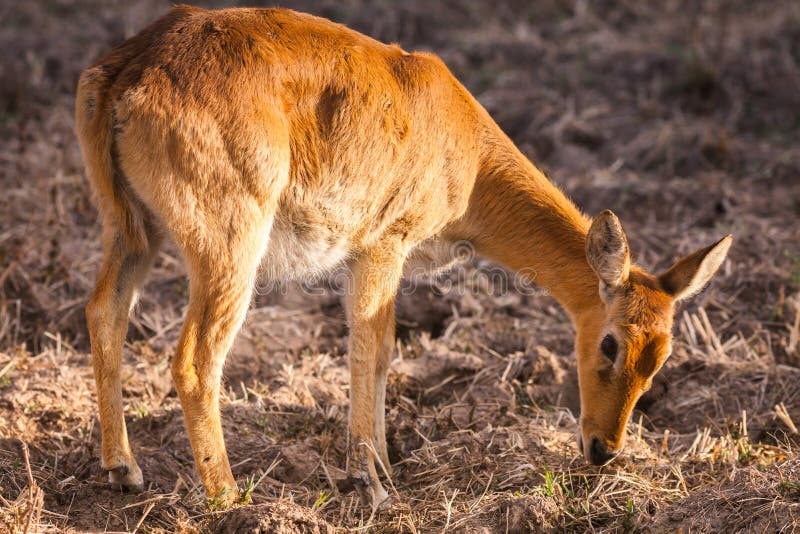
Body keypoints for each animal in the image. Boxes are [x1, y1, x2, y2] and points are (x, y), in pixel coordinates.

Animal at [75, 5, 732, 510]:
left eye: (661, 357)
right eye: (610, 344)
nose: (603, 450)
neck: (467, 151)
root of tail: (128, 69)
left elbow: (384, 355)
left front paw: (386, 466)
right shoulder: (380, 249)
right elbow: (371, 350)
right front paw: (370, 480)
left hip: (132, 232)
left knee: (103, 310)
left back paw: (122, 469)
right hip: (229, 248)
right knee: (193, 358)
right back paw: (228, 495)